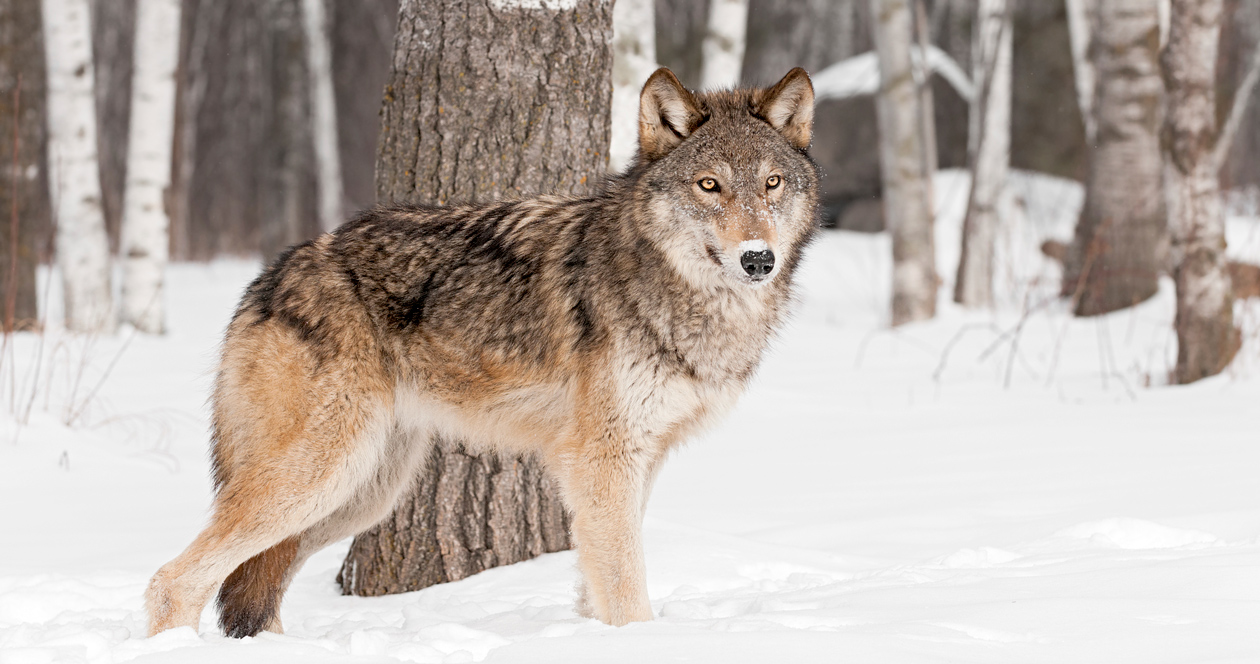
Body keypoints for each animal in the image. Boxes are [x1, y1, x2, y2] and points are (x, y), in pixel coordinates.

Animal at [145, 66, 819, 636]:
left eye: (772, 183)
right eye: (710, 186)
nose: (758, 258)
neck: (678, 291)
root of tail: (272, 273)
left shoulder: (637, 462)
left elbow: (597, 588)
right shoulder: (603, 462)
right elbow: (628, 594)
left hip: (361, 493)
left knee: (258, 585)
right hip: (321, 474)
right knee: (173, 581)